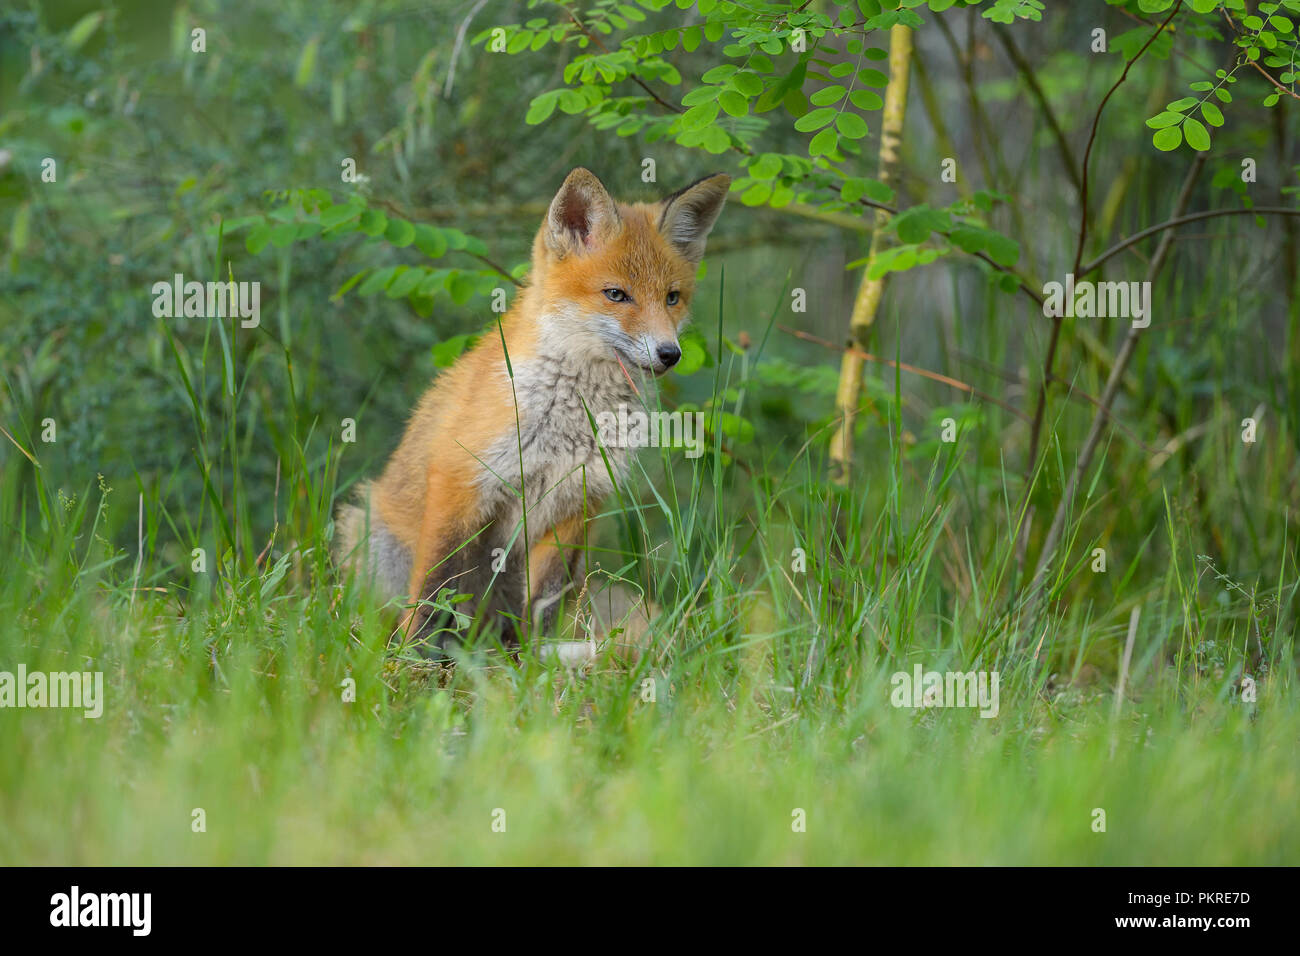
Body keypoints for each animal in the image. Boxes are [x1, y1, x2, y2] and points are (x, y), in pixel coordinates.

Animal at [333, 167, 730, 652]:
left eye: (673, 297)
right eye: (616, 294)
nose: (669, 354)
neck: (569, 418)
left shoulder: (575, 503)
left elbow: (545, 599)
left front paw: (535, 661)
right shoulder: (460, 482)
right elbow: (435, 583)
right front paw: (418, 654)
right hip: (373, 537)